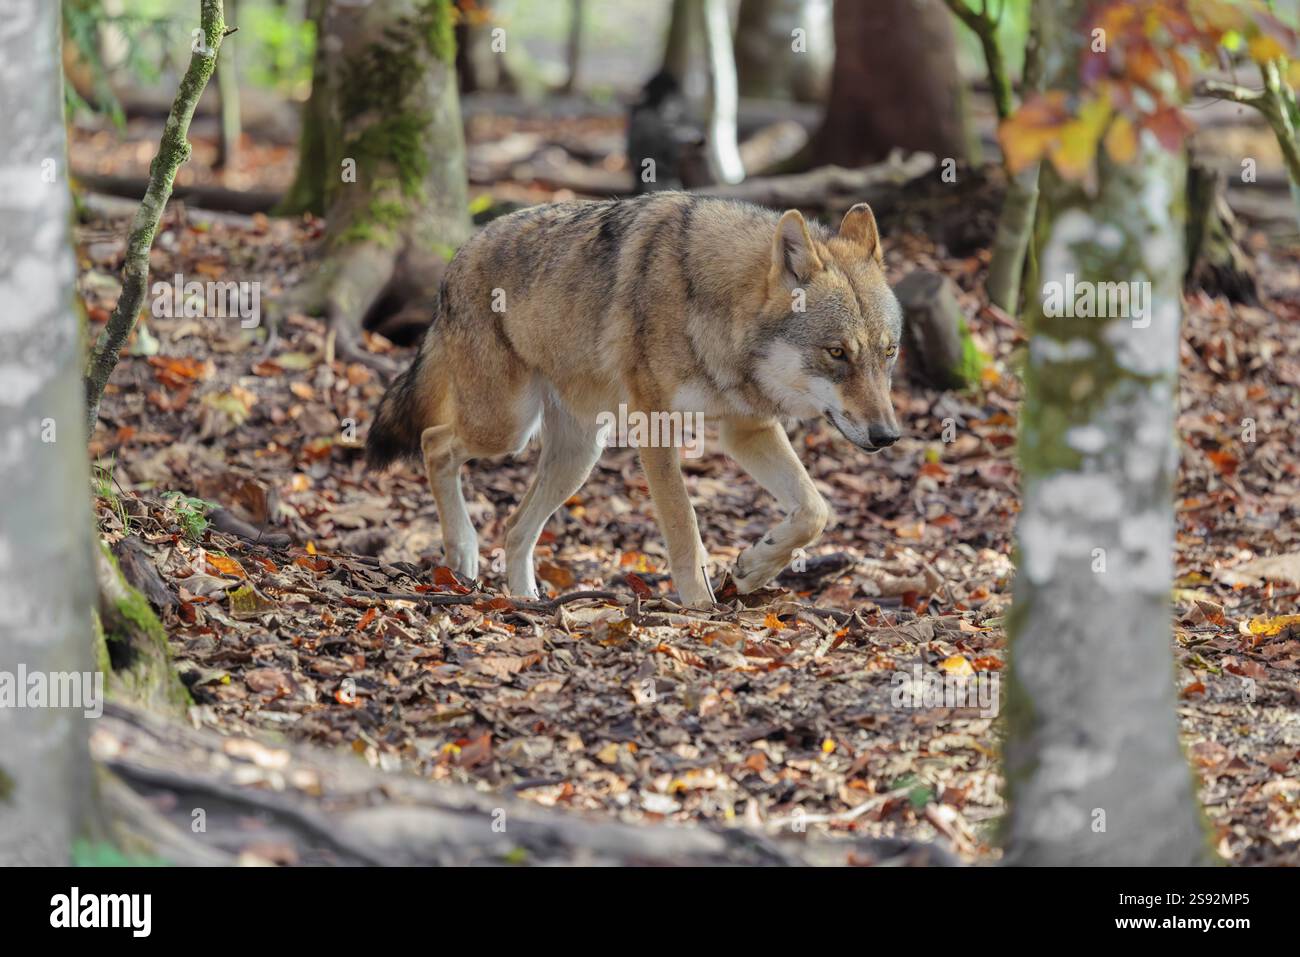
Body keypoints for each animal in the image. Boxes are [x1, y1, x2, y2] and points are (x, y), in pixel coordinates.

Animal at [365, 192, 903, 608]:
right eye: (837, 353)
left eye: (889, 352)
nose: (888, 436)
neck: (711, 304)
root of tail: (457, 257)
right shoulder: (657, 426)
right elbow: (684, 526)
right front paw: (700, 607)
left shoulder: (745, 429)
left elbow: (814, 511)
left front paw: (752, 567)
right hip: (506, 429)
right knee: (435, 444)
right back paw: (462, 551)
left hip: (578, 455)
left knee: (515, 527)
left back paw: (525, 600)